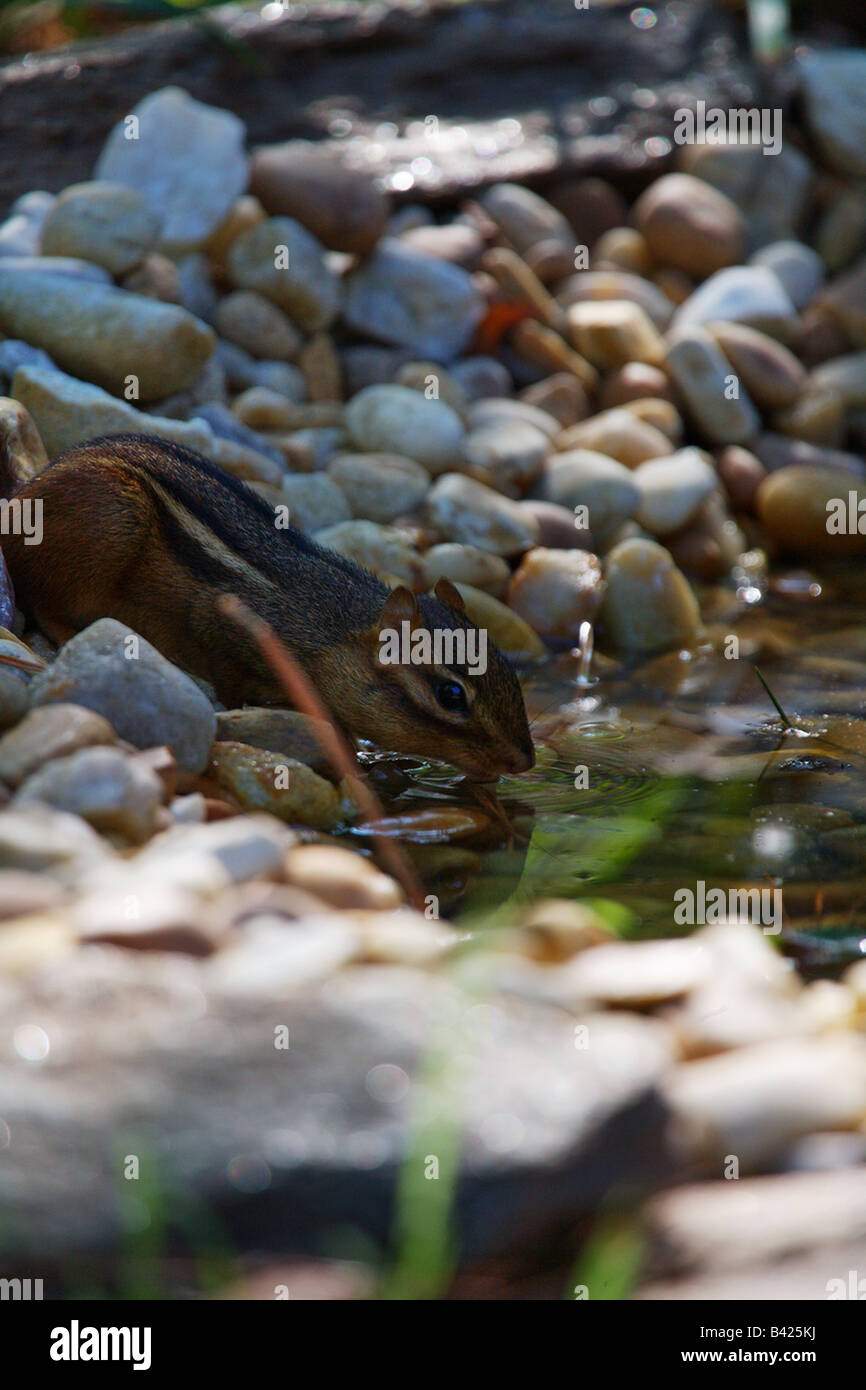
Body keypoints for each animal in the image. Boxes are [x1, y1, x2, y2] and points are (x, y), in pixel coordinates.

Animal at [1, 434, 535, 782]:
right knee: (43, 599)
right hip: (113, 515)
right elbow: (234, 687)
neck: (333, 629)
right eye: (451, 695)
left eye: (509, 670)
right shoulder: (228, 634)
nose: (525, 762)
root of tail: (19, 497)